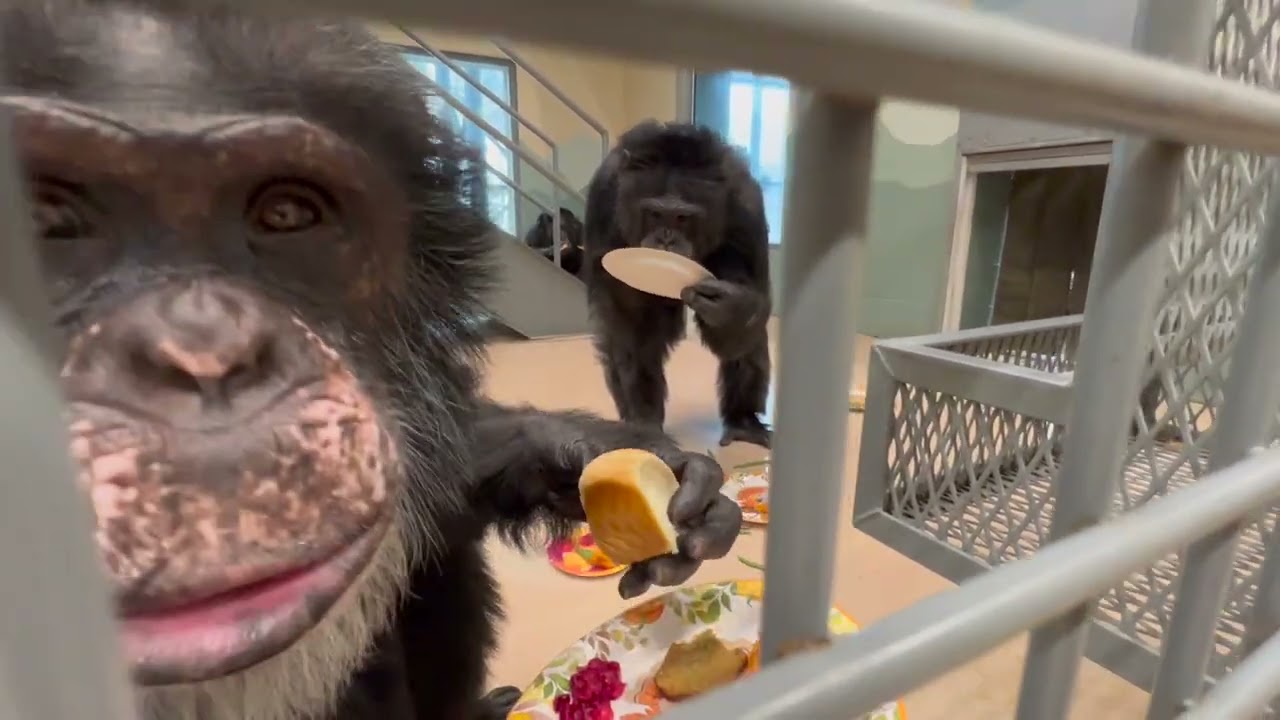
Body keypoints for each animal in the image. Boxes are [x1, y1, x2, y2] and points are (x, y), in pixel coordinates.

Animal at [583, 120, 773, 448]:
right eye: (655, 214)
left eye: (683, 217)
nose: (666, 239)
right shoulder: (604, 199)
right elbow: (631, 321)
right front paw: (645, 418)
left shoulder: (747, 206)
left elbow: (754, 303)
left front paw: (732, 310)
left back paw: (744, 422)